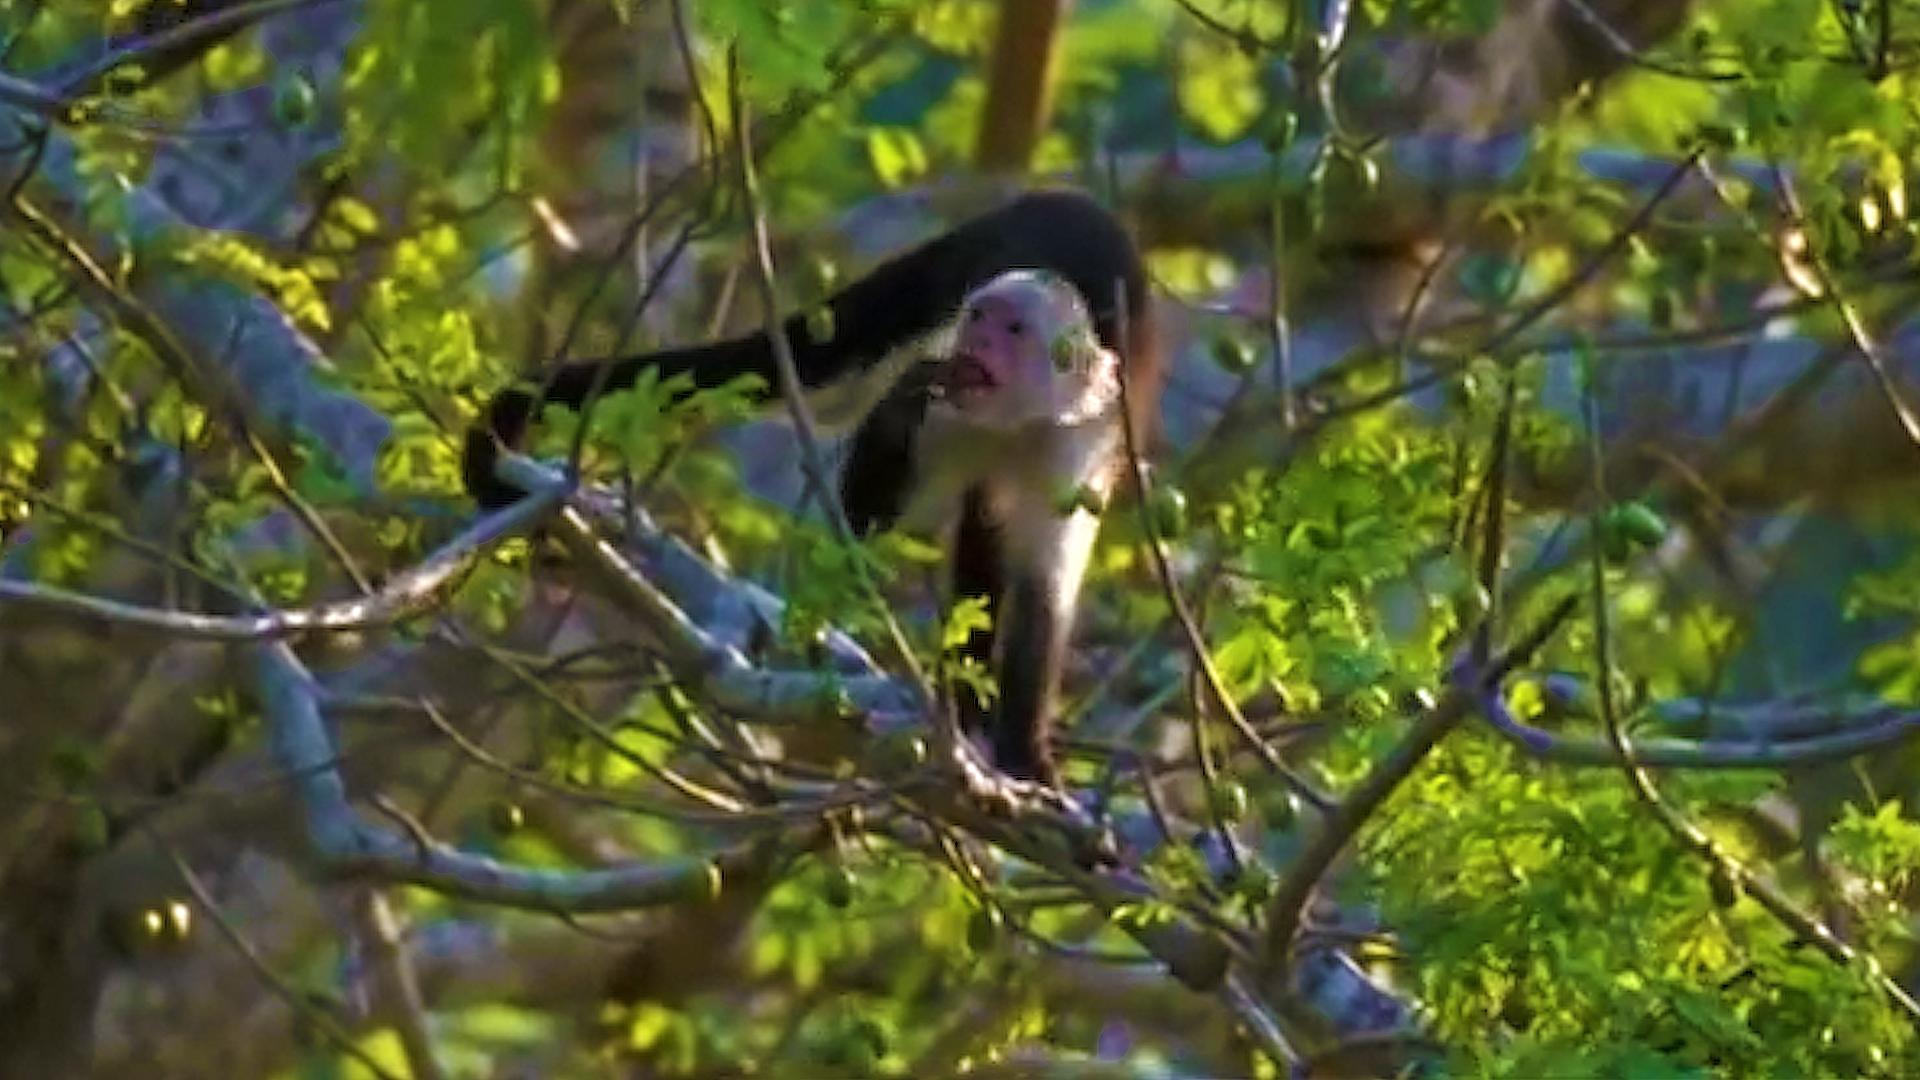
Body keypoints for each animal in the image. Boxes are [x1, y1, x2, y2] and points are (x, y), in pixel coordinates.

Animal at [464, 190, 1162, 784]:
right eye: (981, 317)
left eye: (1011, 331)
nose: (978, 336)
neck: (1018, 420)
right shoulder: (950, 405)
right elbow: (888, 449)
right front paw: (840, 596)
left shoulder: (1085, 440)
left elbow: (1046, 591)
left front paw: (1025, 753)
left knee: (987, 534)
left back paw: (968, 706)